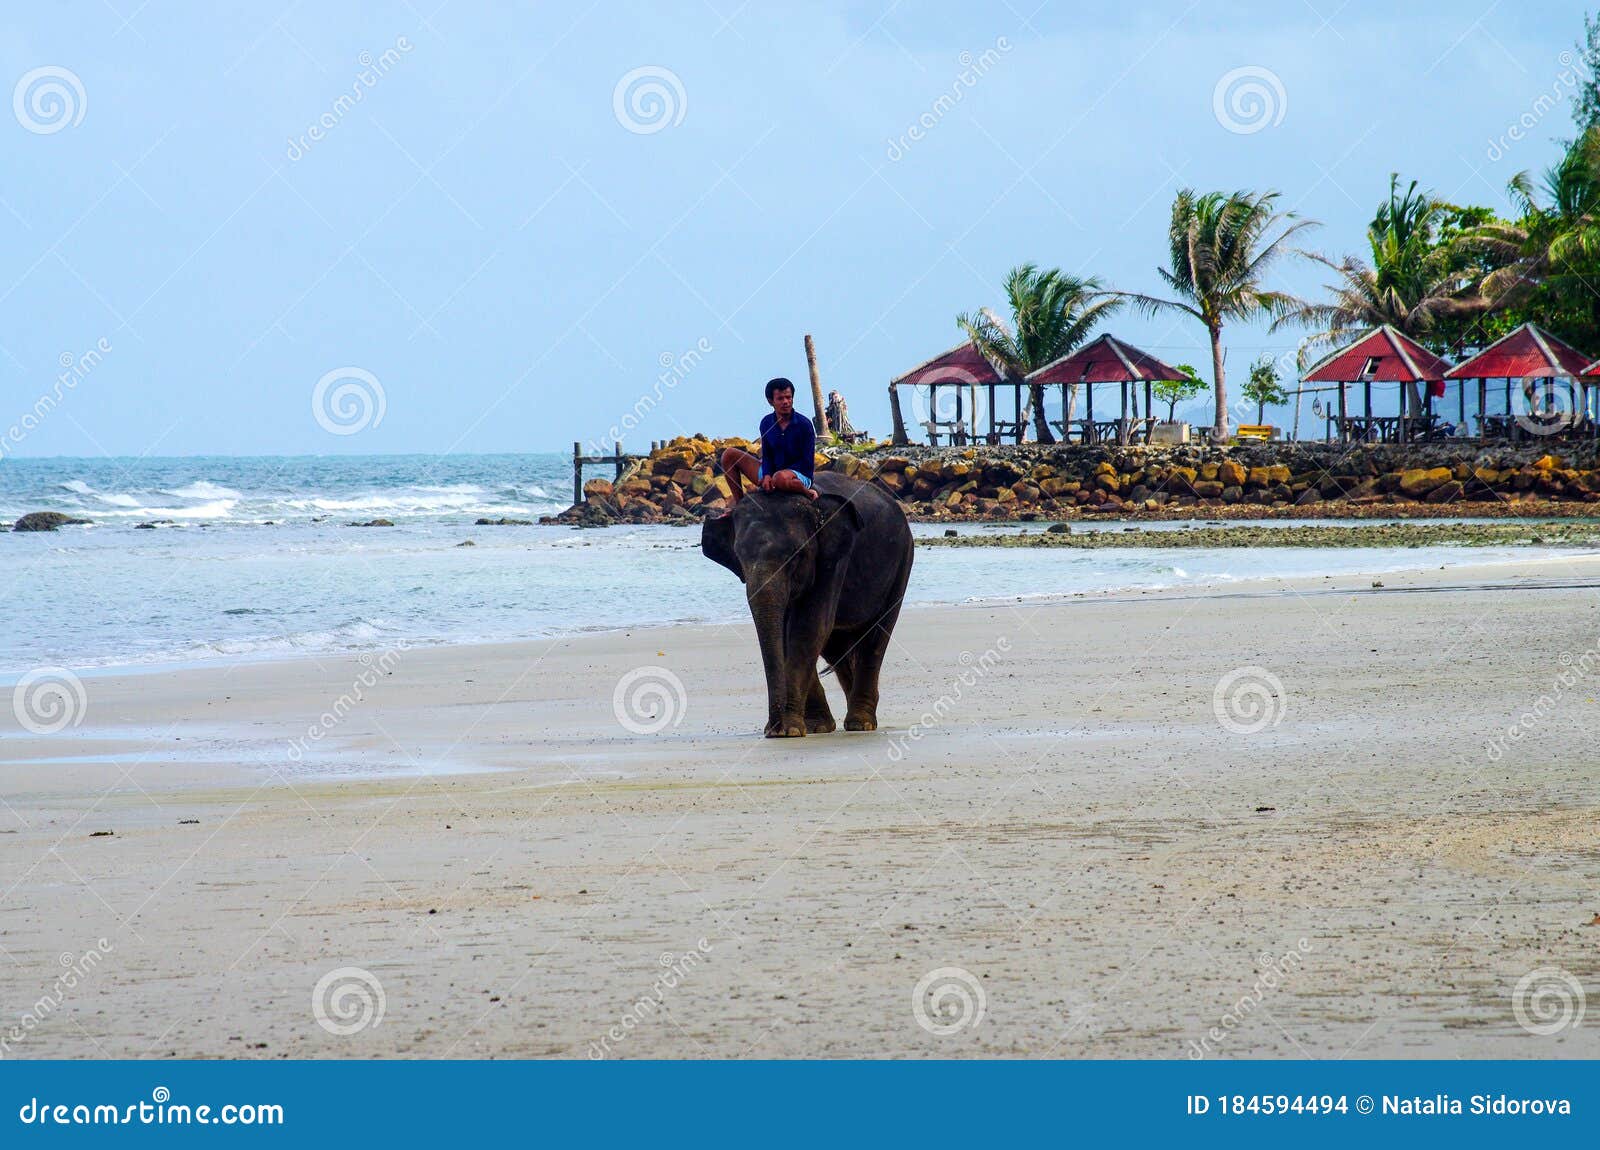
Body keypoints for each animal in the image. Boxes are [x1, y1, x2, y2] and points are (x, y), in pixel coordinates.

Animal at [701, 470, 914, 737]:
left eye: (797, 556)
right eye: (739, 557)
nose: (772, 729)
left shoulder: (834, 558)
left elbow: (809, 627)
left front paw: (791, 730)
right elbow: (787, 635)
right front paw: (813, 727)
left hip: (902, 562)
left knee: (876, 635)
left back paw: (861, 723)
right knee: (837, 646)